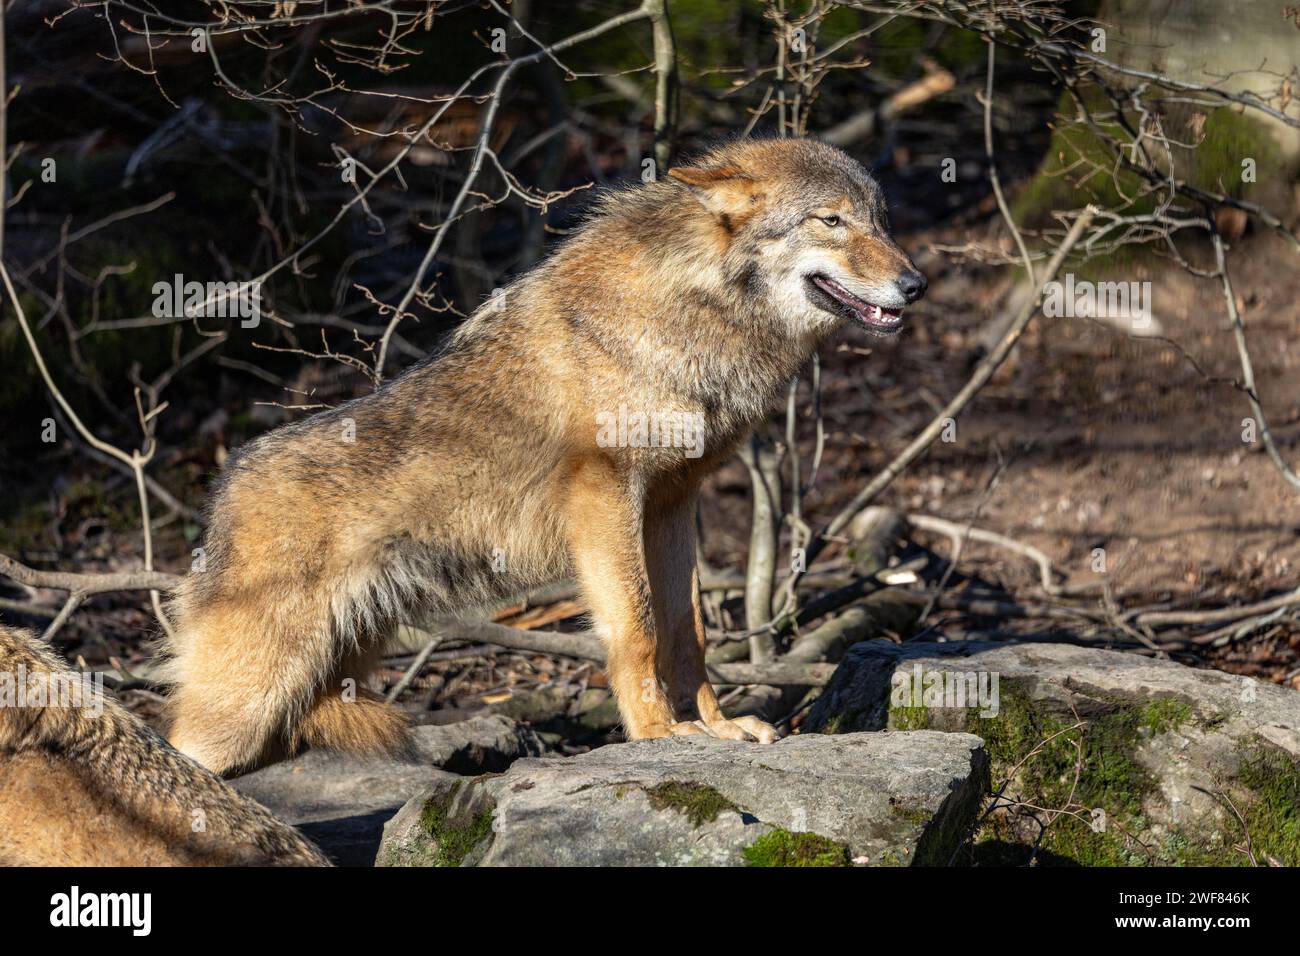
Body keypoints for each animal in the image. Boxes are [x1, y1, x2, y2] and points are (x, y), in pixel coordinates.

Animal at [163, 137, 926, 775]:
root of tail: (223, 487)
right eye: (832, 221)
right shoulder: (606, 496)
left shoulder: (673, 501)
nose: (916, 285)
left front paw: (717, 729)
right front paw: (658, 734)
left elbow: (689, 631)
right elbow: (638, 630)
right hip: (242, 705)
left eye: (882, 219)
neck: (694, 309)